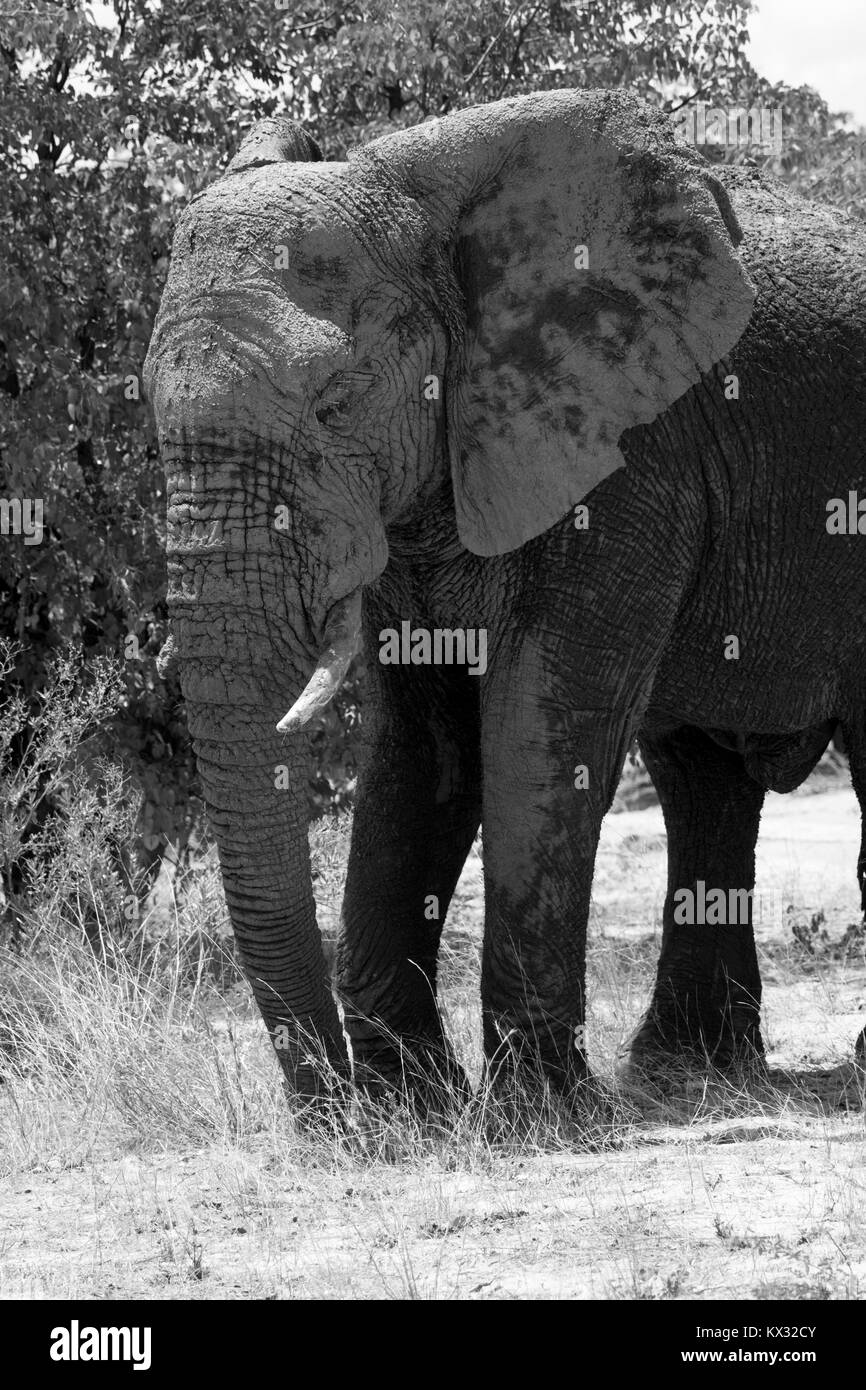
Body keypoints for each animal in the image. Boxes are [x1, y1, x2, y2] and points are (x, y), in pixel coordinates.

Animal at [144, 91, 866, 1106]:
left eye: (337, 401)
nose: (330, 1115)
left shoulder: (631, 452)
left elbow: (539, 735)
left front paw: (535, 1111)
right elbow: (424, 748)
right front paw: (414, 1105)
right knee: (698, 778)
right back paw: (687, 1067)